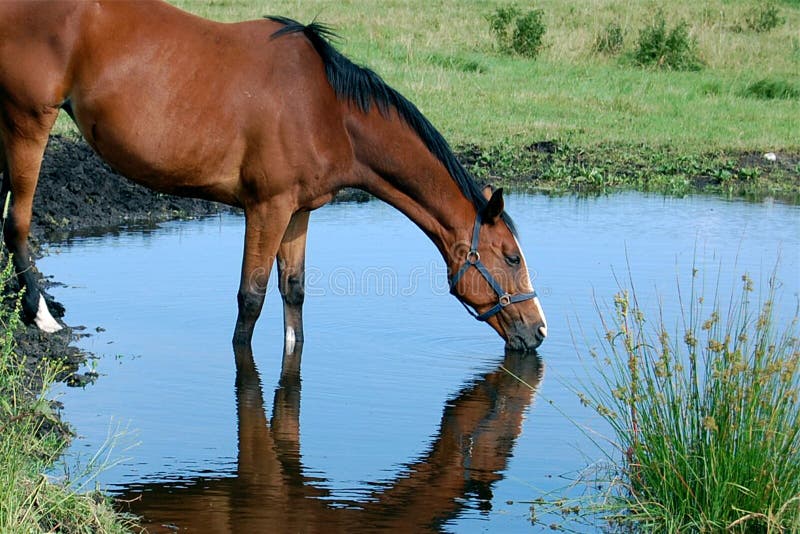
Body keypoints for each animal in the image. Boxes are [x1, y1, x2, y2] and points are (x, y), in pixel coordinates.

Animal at [0, 0, 547, 352]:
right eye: (511, 256)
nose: (539, 331)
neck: (327, 108)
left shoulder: (299, 211)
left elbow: (294, 294)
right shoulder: (266, 209)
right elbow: (251, 299)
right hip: (29, 120)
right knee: (18, 223)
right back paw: (43, 317)